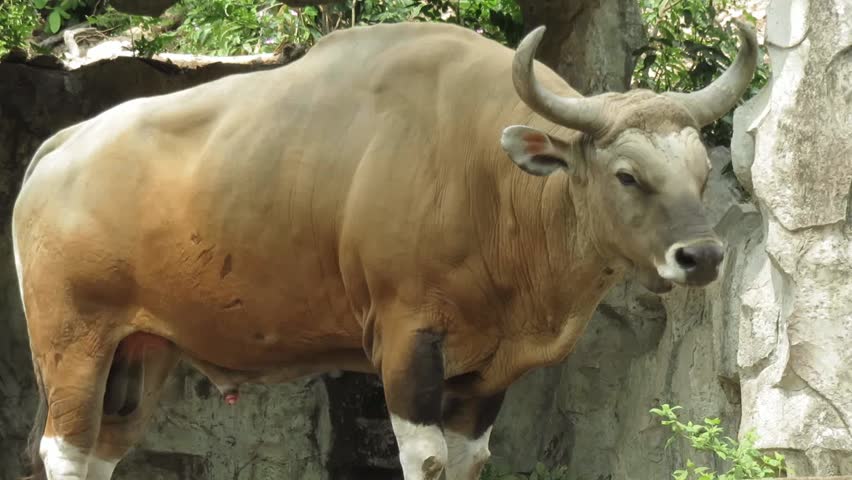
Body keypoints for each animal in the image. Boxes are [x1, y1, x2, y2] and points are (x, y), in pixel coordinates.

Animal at [12, 18, 757, 480]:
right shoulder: (407, 345)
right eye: (627, 174)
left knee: (104, 449)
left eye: (702, 172)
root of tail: (58, 149)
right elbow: (425, 462)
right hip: (73, 341)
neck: (490, 182)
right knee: (66, 451)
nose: (702, 256)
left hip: (142, 351)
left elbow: (467, 462)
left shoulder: (489, 373)